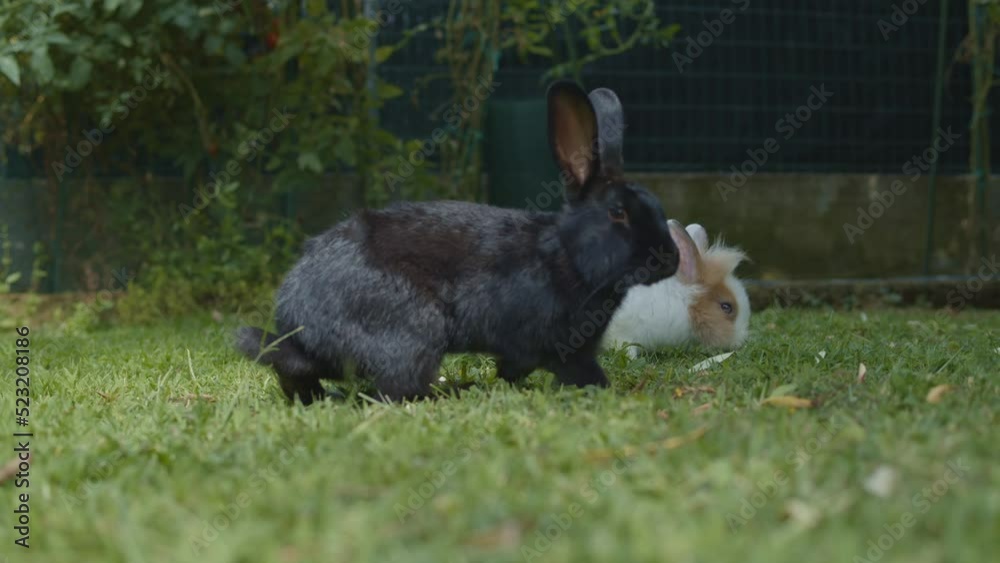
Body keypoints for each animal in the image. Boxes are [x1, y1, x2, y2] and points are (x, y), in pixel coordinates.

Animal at [235, 81, 680, 404]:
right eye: (618, 213)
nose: (670, 259)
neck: (568, 257)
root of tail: (299, 325)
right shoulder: (557, 347)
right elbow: (572, 372)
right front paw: (604, 391)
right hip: (415, 332)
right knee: (395, 391)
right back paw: (454, 391)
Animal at [602, 220, 750, 359]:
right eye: (726, 307)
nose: (741, 341)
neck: (682, 302)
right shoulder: (622, 332)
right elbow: (626, 347)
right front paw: (632, 358)